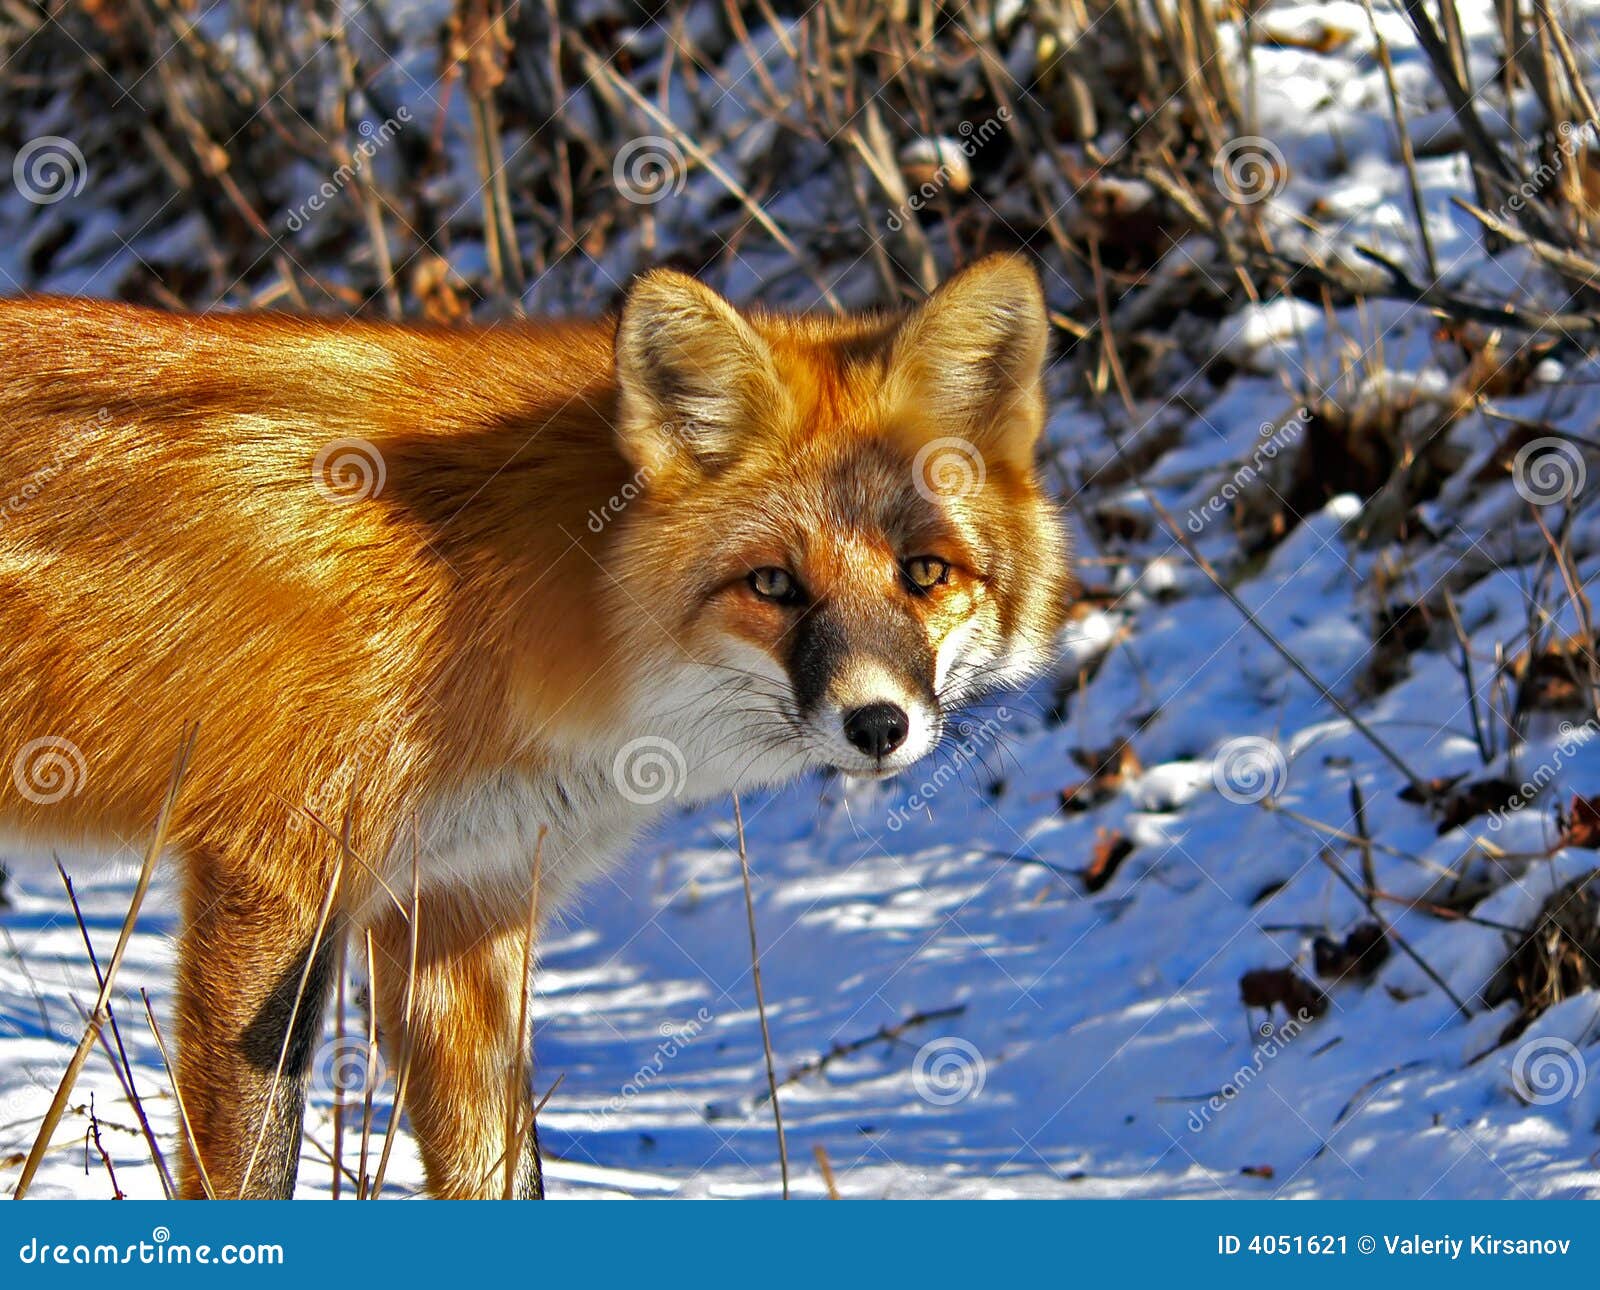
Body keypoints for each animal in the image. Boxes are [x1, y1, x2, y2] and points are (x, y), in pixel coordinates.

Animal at [0, 253, 1071, 1199]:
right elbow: (256, 1176)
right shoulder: (274, 876)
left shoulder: (465, 903)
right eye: (773, 585)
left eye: (925, 573)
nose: (880, 724)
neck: (476, 603)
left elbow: (505, 1175)